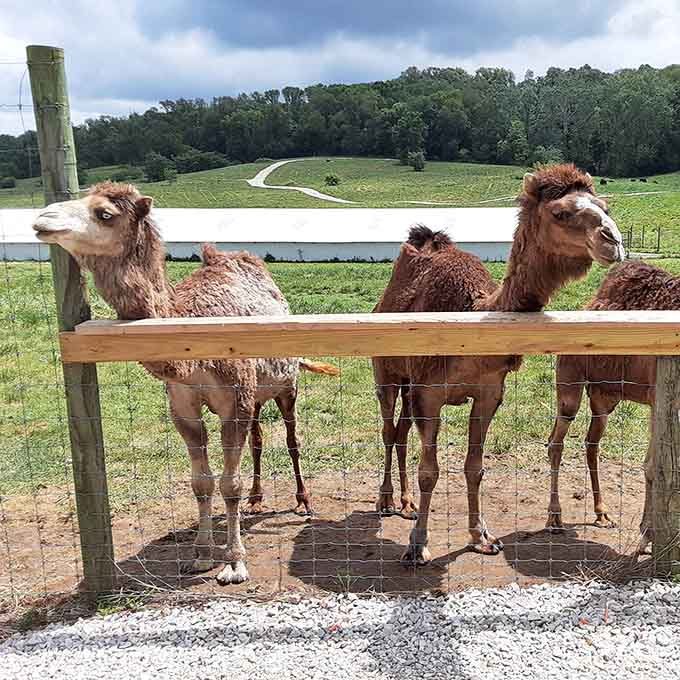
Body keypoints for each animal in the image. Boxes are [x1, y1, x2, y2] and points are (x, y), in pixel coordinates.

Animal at [32, 181, 337, 585]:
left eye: (105, 213)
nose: (42, 219)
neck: (190, 347)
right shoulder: (184, 407)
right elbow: (202, 482)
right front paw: (201, 555)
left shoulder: (234, 402)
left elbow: (229, 483)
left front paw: (235, 563)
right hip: (257, 395)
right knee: (257, 440)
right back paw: (256, 500)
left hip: (287, 387)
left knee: (291, 439)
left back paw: (303, 502)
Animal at [373, 164, 625, 564]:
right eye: (560, 213)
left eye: (604, 206)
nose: (612, 240)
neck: (473, 316)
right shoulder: (429, 393)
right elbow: (429, 471)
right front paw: (417, 545)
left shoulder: (489, 392)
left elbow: (474, 467)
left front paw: (481, 537)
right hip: (387, 372)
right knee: (387, 428)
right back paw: (385, 502)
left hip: (409, 383)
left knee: (399, 433)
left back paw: (407, 503)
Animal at [546, 260, 680, 553]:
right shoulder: (658, 398)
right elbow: (652, 466)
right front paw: (646, 537)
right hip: (569, 381)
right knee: (556, 442)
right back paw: (554, 518)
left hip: (604, 397)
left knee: (591, 442)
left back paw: (602, 513)